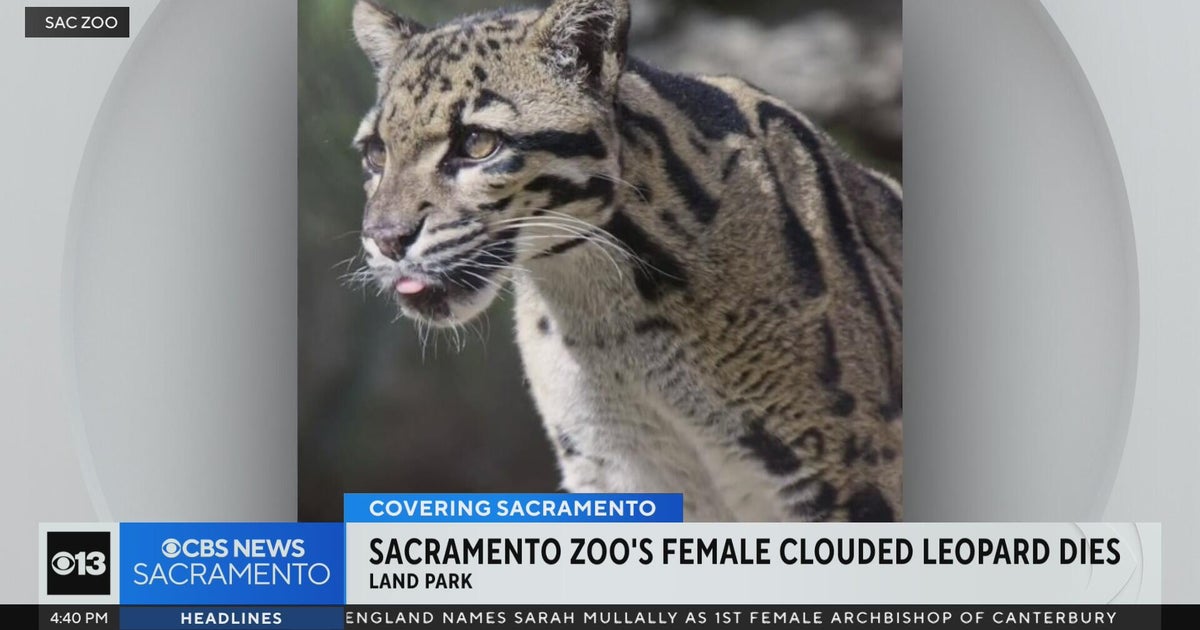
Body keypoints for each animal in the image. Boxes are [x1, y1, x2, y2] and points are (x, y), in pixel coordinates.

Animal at [349, 0, 902, 521]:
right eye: (375, 153)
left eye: (478, 142)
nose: (385, 238)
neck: (608, 313)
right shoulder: (609, 467)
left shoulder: (848, 479)